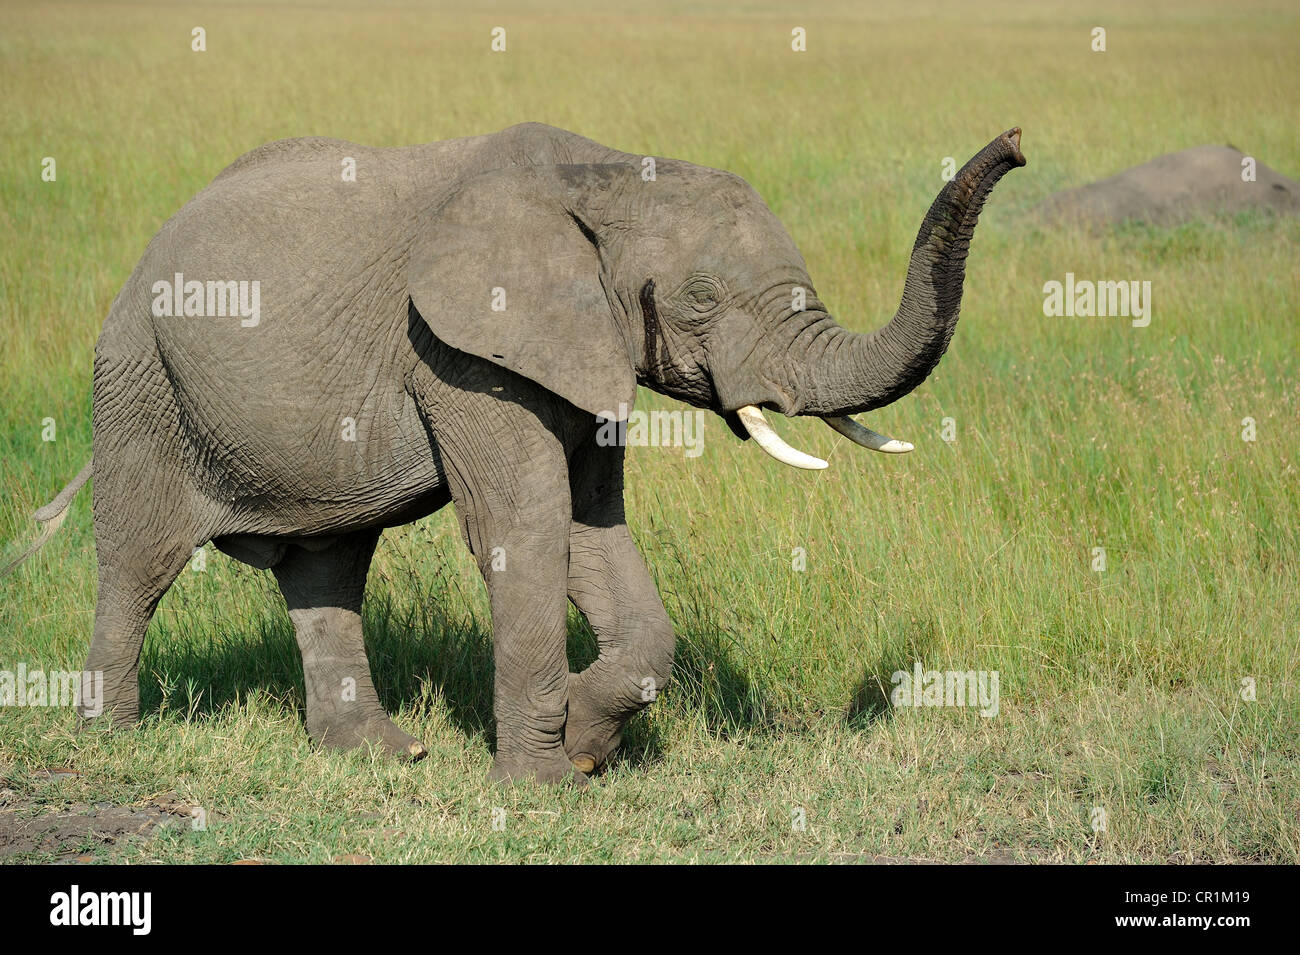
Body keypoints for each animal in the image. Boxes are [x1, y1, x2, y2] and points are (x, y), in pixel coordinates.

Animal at [5, 122, 1025, 785]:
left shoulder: (581, 347)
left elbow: (590, 528)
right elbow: (522, 525)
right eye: (699, 298)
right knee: (139, 561)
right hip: (138, 379)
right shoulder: (461, 347)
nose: (1015, 144)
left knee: (329, 563)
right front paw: (542, 782)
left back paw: (385, 755)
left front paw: (583, 743)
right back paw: (112, 740)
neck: (602, 173)